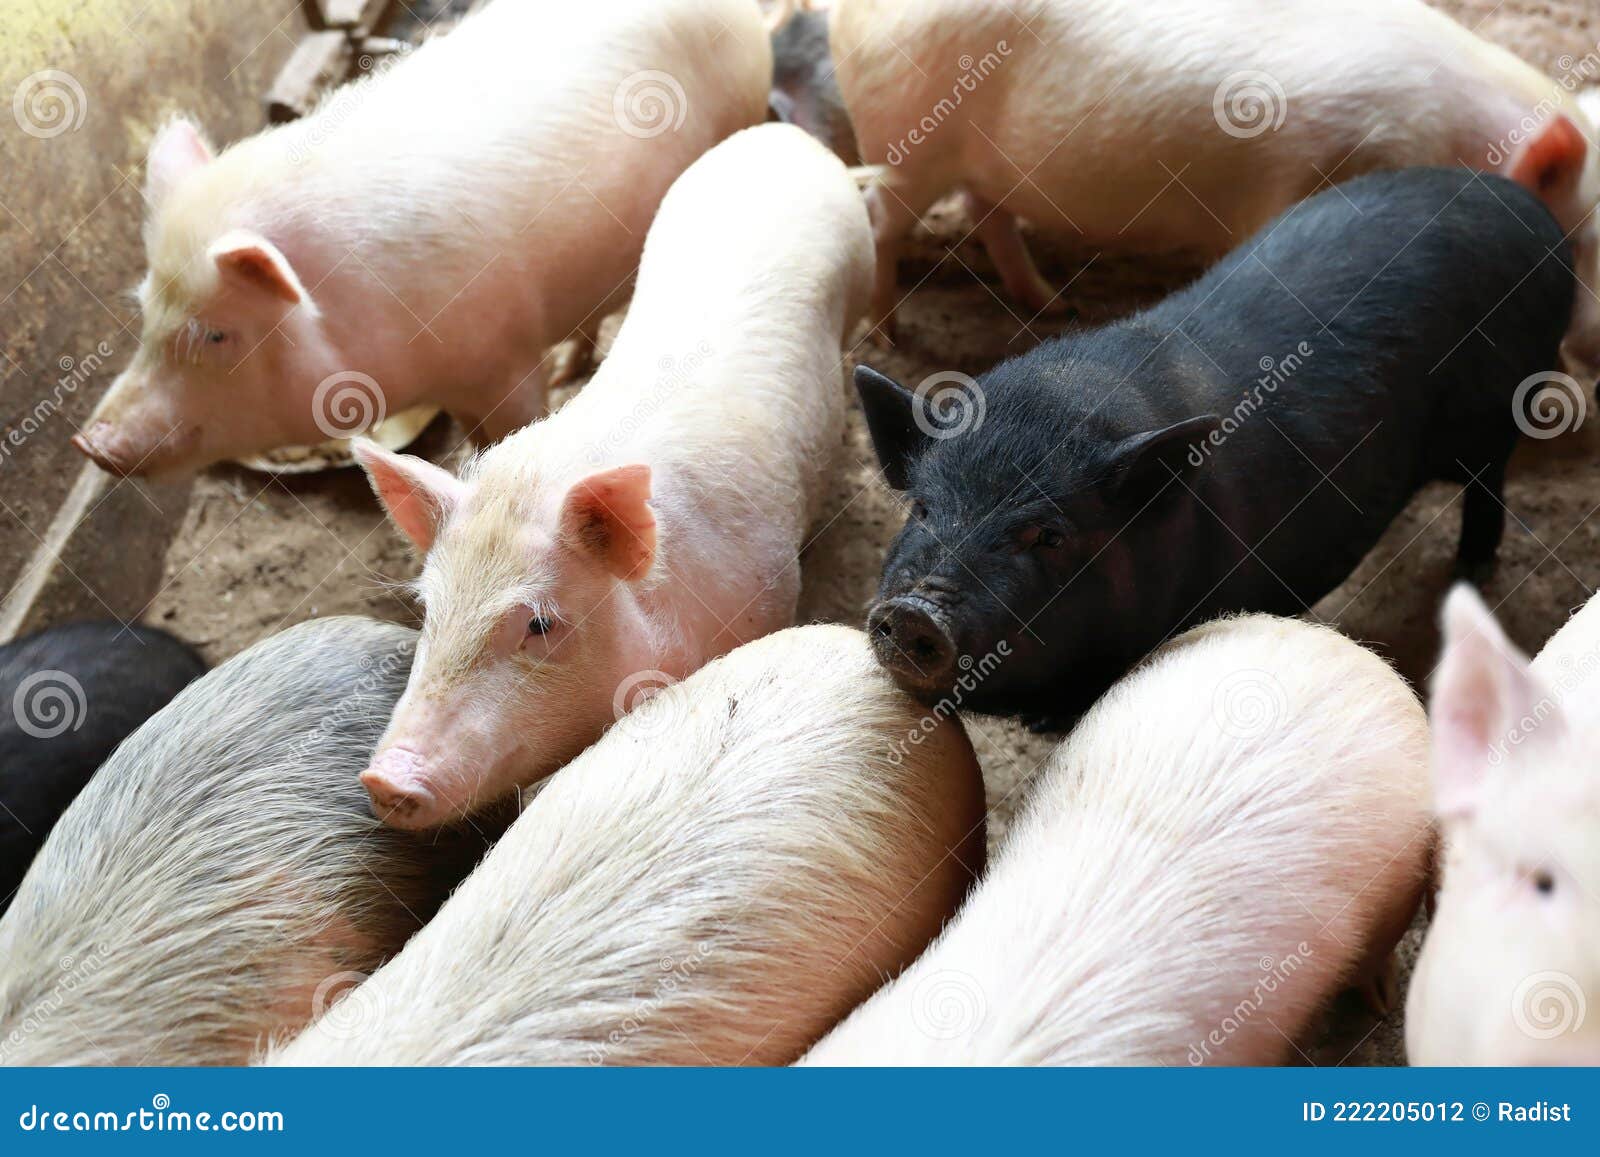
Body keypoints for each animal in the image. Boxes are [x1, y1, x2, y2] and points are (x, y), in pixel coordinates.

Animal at [73, 0, 772, 477]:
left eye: (218, 334)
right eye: (145, 313)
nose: (90, 443)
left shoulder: (503, 357)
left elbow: (512, 427)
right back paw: (573, 365)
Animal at [831, 0, 1600, 373]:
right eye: (1575, 244)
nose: (1593, 348)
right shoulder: (1314, 176)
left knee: (988, 214)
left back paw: (1053, 305)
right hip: (910, 137)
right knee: (881, 218)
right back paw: (889, 336)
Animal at [858, 167, 1573, 729]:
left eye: (1050, 536)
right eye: (922, 509)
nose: (916, 609)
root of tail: (1535, 216)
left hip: (1500, 412)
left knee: (1488, 487)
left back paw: (1469, 570)